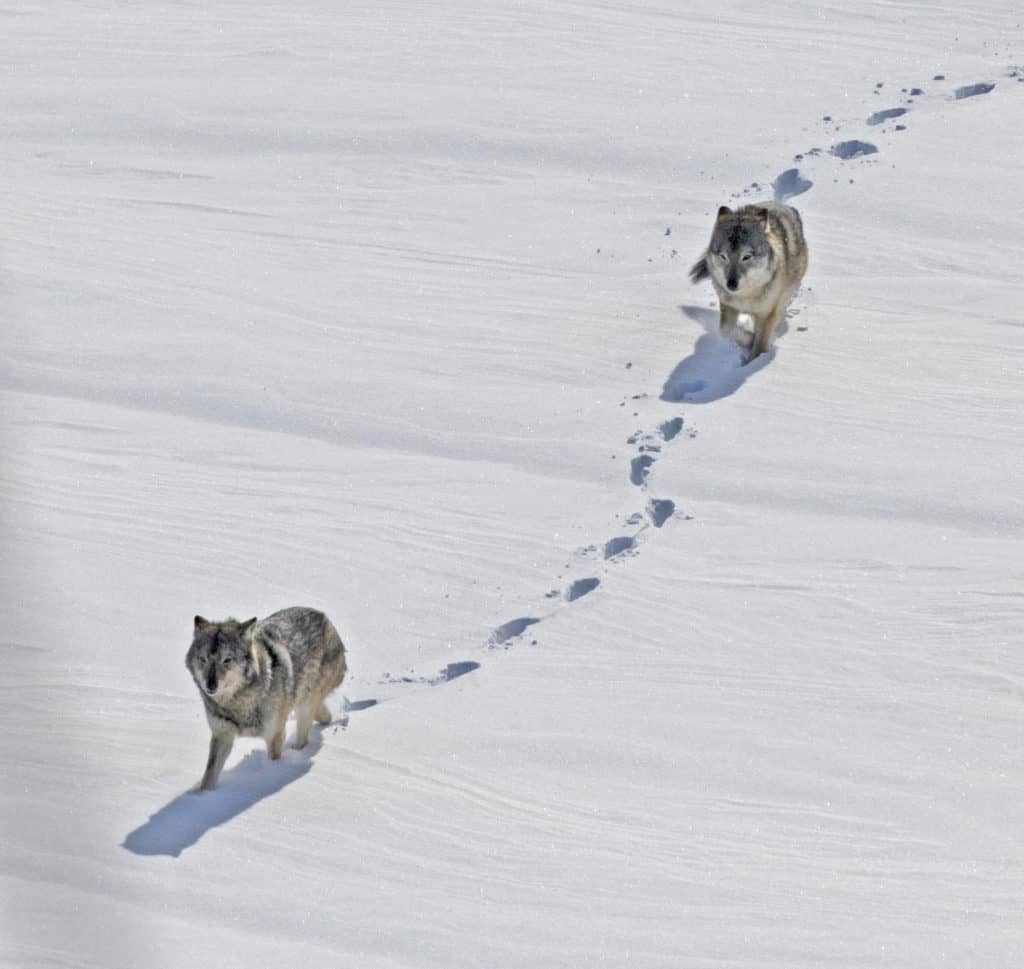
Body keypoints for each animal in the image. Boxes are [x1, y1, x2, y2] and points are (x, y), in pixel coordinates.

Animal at [185, 607, 347, 792]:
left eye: (227, 660)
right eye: (203, 659)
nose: (210, 685)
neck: (238, 705)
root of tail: (323, 617)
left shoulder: (274, 735)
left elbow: (273, 761)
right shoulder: (222, 736)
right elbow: (209, 776)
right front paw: (201, 797)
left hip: (305, 708)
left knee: (304, 738)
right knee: (322, 714)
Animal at [689, 202, 808, 360]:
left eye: (746, 257)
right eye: (723, 256)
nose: (731, 284)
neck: (746, 295)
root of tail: (784, 205)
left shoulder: (766, 314)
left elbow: (759, 347)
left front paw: (754, 359)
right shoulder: (729, 306)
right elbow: (726, 331)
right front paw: (748, 339)